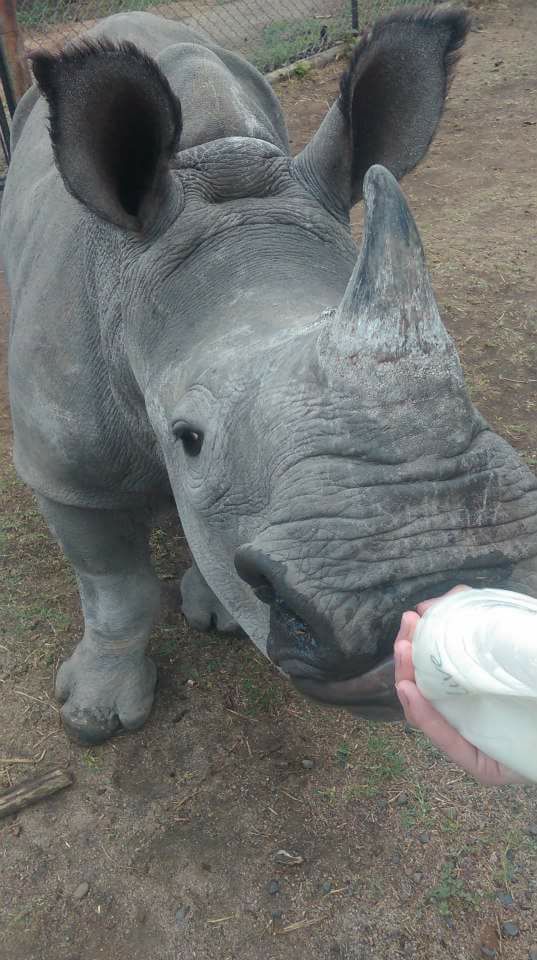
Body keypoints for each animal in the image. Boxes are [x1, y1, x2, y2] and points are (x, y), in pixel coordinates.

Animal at [3, 7, 537, 744]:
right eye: (189, 438)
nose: (428, 582)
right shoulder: (65, 468)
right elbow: (116, 591)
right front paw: (95, 717)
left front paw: (218, 613)